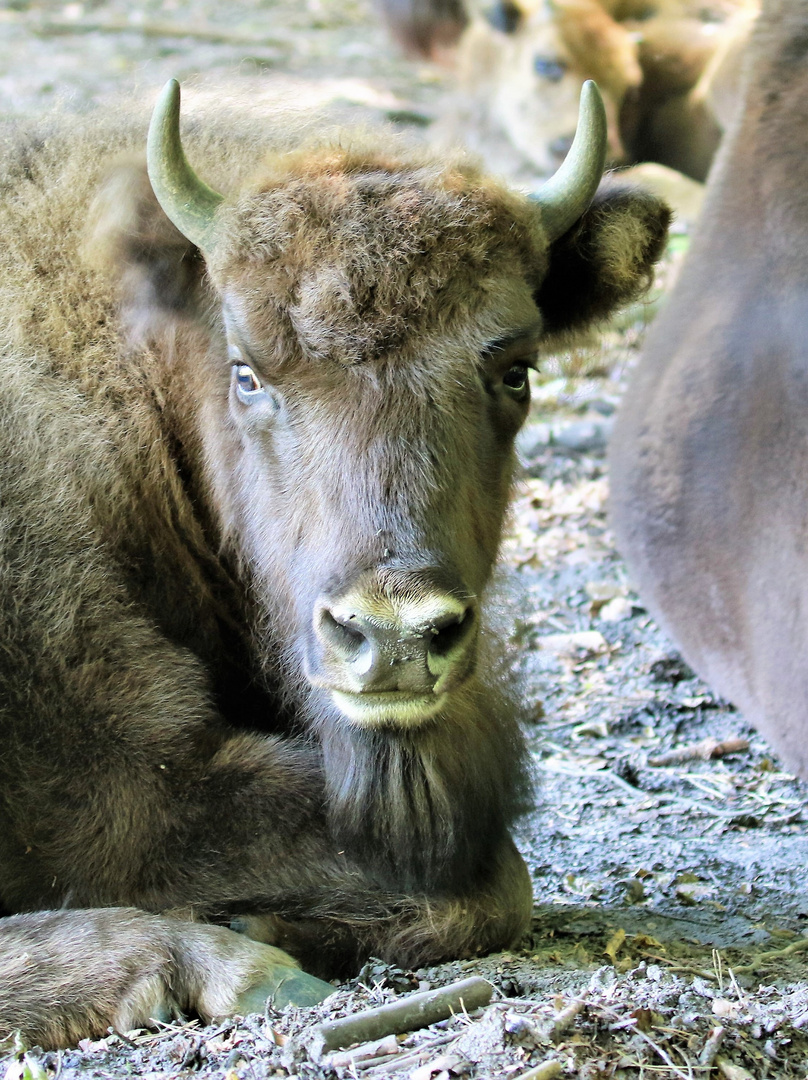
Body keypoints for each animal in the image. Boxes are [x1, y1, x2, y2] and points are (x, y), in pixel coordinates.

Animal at [0, 80, 668, 1049]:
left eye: (516, 370)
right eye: (247, 373)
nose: (394, 637)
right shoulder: (124, 782)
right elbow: (497, 878)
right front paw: (258, 926)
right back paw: (217, 965)